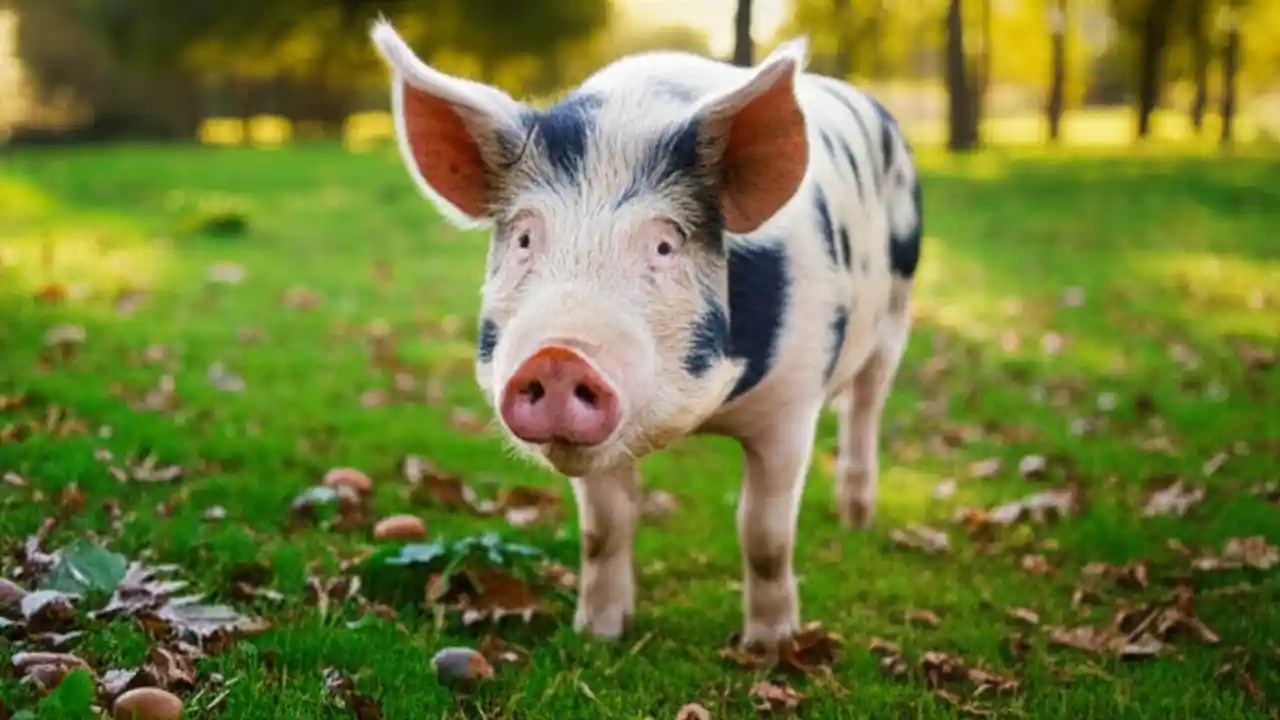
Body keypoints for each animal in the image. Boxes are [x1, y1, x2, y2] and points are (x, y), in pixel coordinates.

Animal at [370, 21, 922, 648]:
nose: (558, 357)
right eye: (525, 238)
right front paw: (599, 633)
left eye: (664, 244)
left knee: (865, 410)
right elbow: (605, 528)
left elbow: (764, 532)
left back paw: (857, 522)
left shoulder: (793, 402)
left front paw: (769, 647)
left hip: (897, 314)